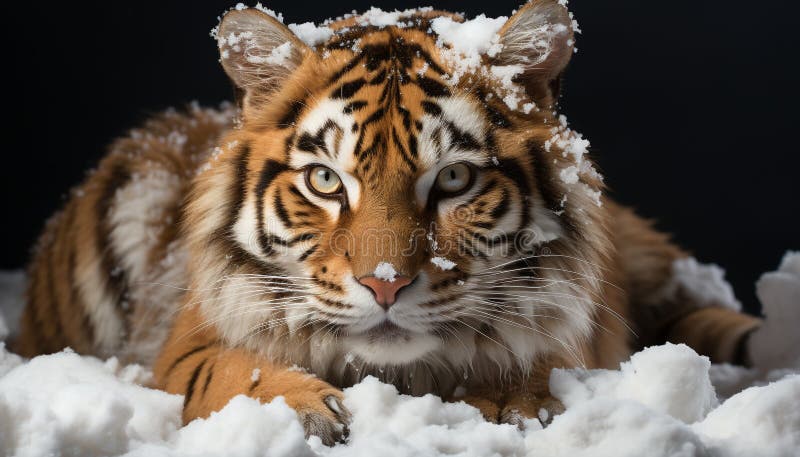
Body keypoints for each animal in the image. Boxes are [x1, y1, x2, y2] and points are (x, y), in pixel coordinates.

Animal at [14, 0, 762, 445]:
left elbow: (532, 357)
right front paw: (301, 410)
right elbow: (232, 370)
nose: (384, 285)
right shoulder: (185, 348)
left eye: (454, 180)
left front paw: (501, 406)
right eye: (325, 180)